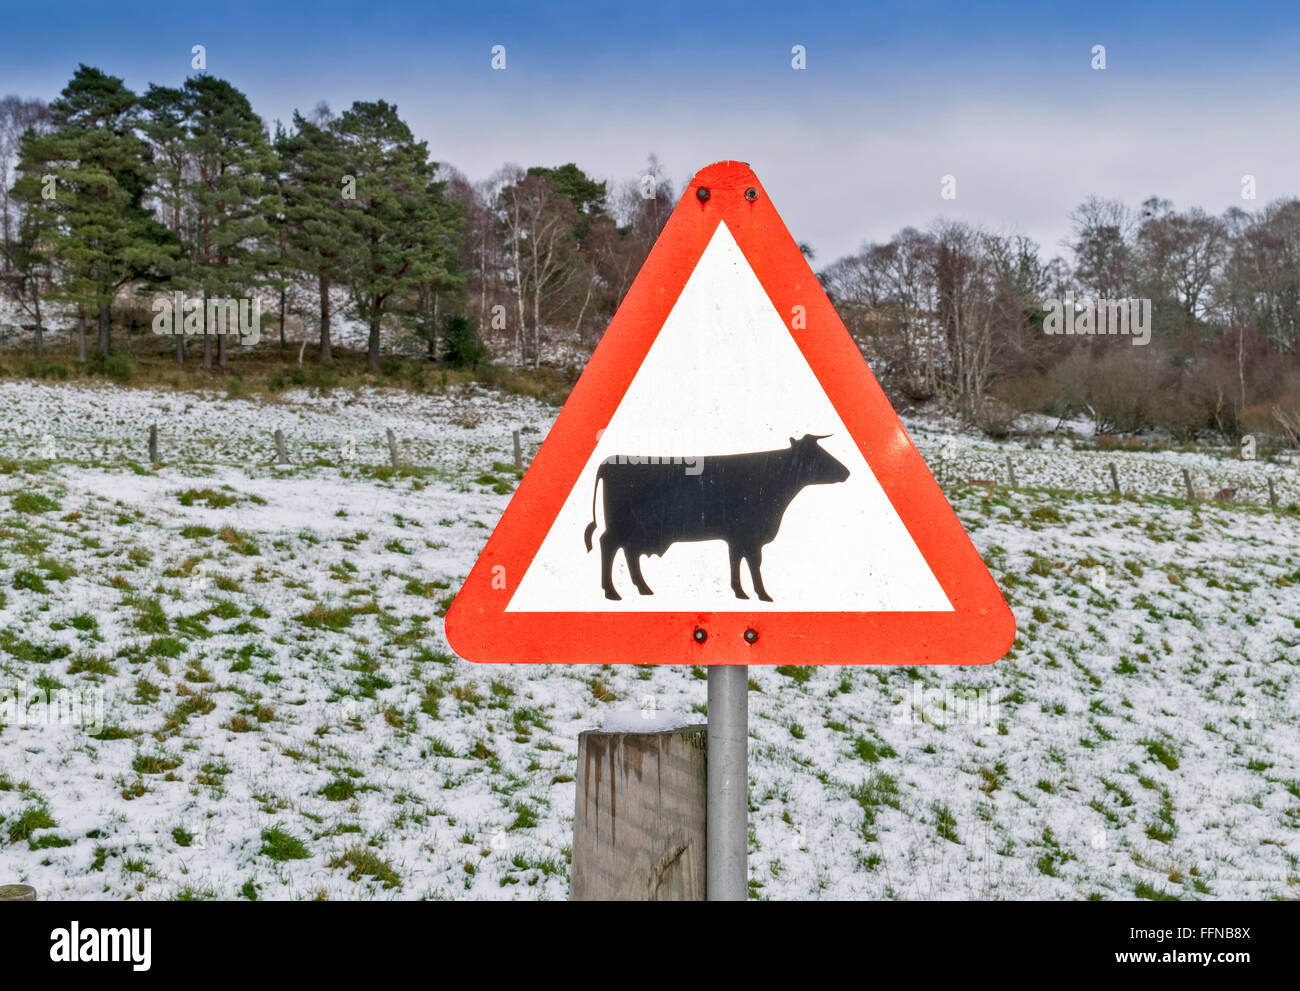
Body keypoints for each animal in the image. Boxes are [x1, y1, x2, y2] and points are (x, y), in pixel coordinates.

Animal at [582, 434, 850, 601]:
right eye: (817, 455)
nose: (846, 472)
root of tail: (609, 462)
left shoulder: (737, 537)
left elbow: (737, 561)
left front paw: (741, 592)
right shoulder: (750, 536)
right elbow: (753, 563)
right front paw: (762, 595)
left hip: (634, 531)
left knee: (628, 553)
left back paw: (643, 589)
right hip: (622, 526)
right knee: (609, 545)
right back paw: (611, 592)